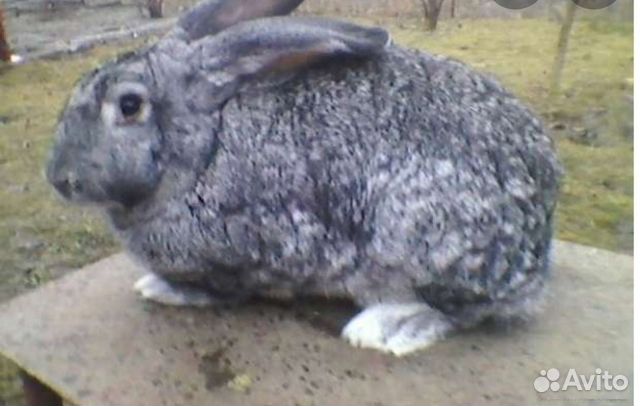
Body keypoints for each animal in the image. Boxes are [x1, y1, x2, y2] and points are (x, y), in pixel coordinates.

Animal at [46, 0, 561, 356]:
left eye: (129, 105)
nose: (58, 179)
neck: (203, 150)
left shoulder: (249, 252)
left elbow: (221, 290)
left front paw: (159, 288)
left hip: (422, 239)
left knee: (461, 310)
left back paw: (385, 328)